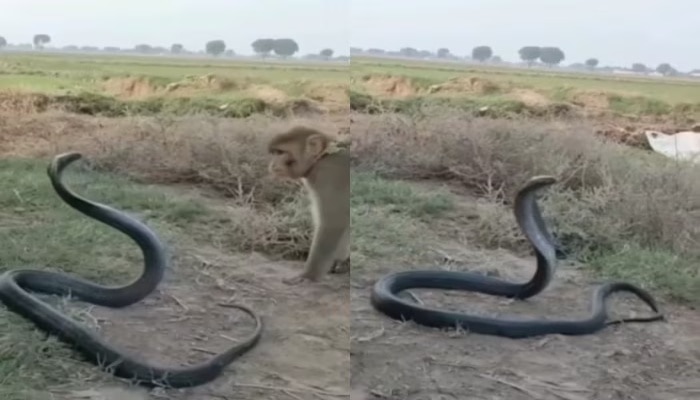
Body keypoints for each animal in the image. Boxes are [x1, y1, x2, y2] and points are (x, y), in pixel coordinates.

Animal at [267, 126, 350, 285]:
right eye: (274, 153)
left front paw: (309, 275)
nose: (272, 165)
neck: (322, 157)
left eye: (280, 153)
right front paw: (340, 262)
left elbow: (334, 222)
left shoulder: (329, 175)